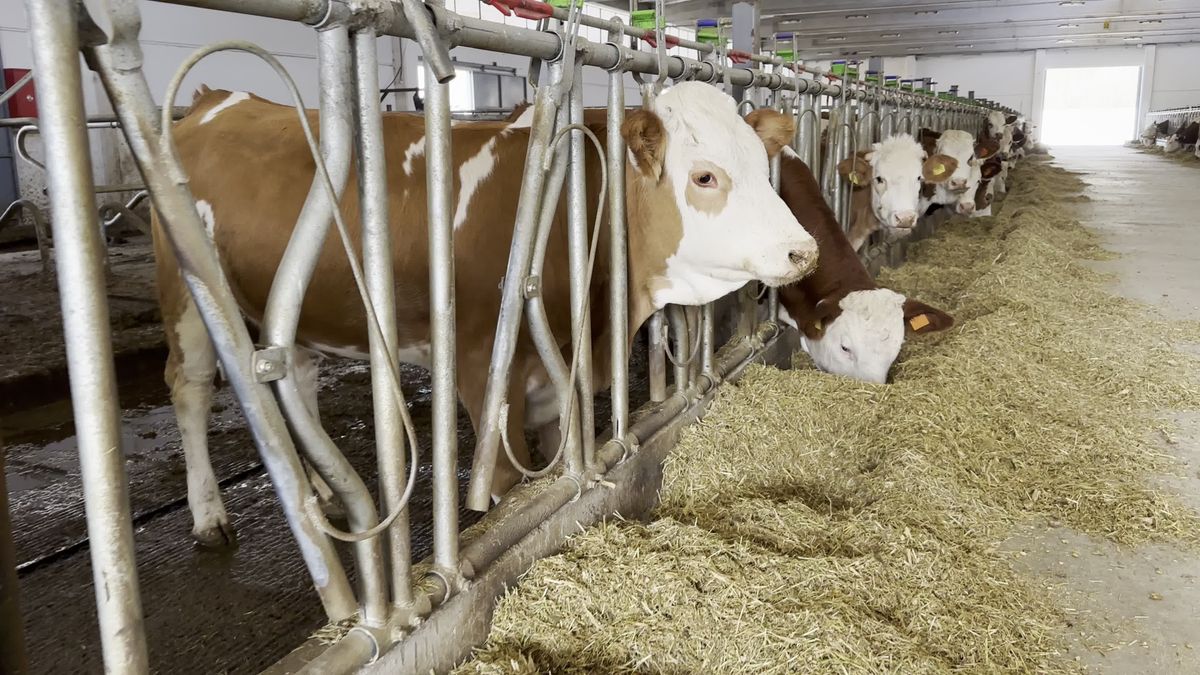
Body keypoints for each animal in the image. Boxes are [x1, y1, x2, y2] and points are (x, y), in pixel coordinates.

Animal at [156, 82, 818, 546]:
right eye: (705, 177)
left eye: (762, 166)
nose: (803, 250)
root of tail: (217, 100)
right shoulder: (484, 369)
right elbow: (506, 484)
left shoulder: (557, 376)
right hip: (187, 295)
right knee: (189, 388)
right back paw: (210, 514)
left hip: (293, 304)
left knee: (296, 377)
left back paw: (325, 491)